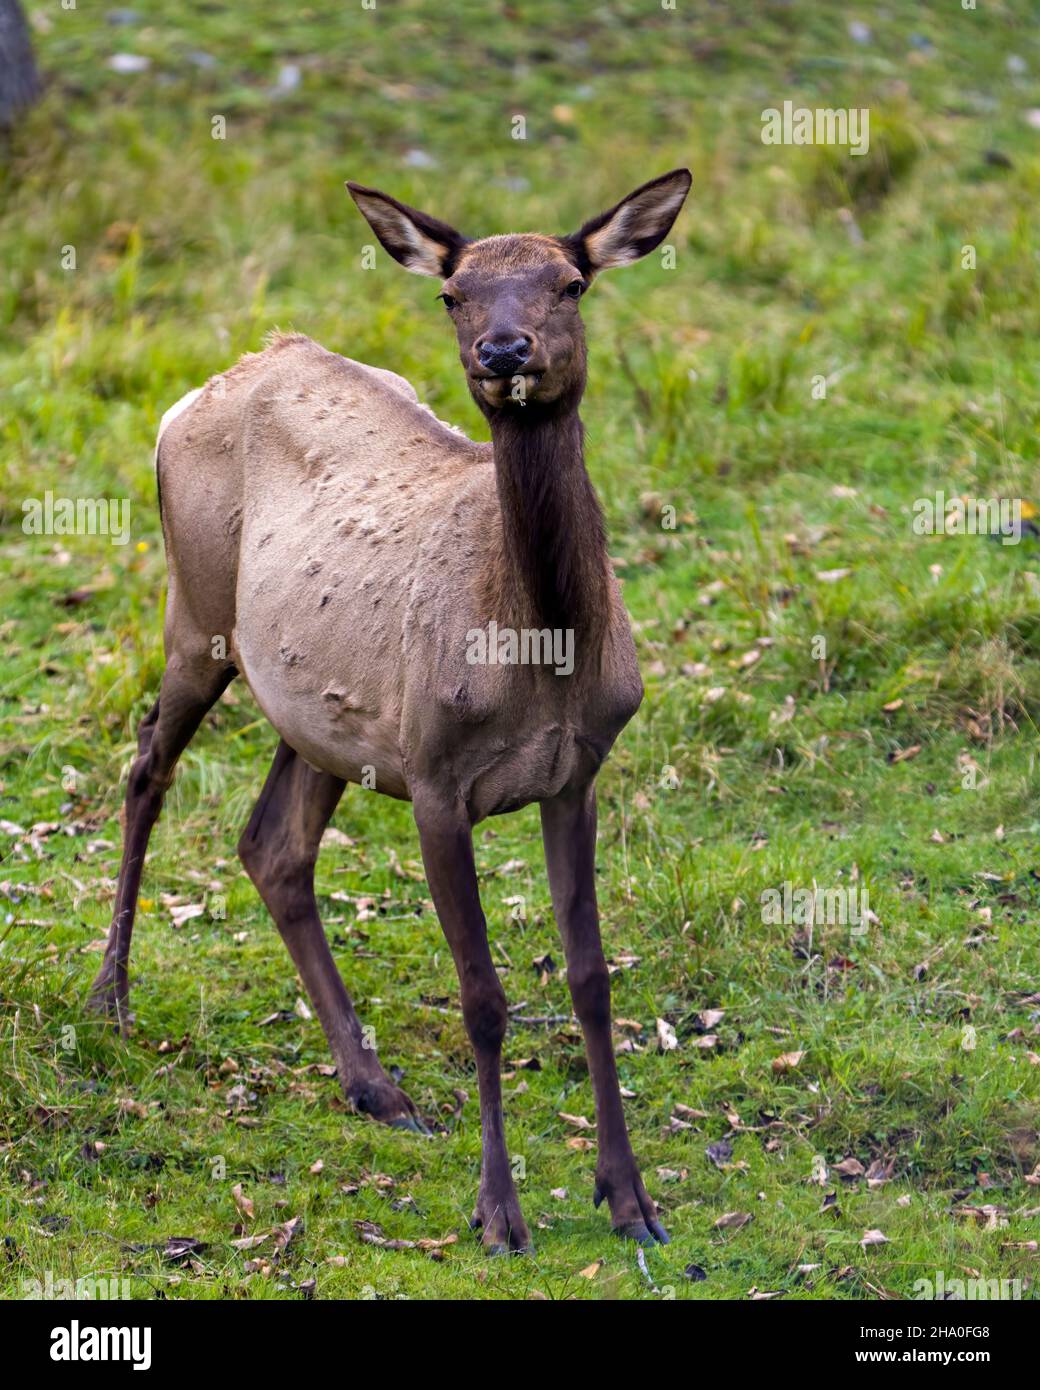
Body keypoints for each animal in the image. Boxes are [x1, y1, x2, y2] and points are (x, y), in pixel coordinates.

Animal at [88, 168, 692, 1252]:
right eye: (453, 294)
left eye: (571, 282)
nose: (505, 352)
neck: (544, 648)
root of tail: (214, 380)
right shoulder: (438, 778)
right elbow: (483, 995)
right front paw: (499, 1213)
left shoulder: (578, 772)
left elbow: (589, 976)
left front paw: (630, 1200)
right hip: (195, 614)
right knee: (147, 763)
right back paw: (110, 997)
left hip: (325, 718)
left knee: (271, 843)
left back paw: (372, 1083)